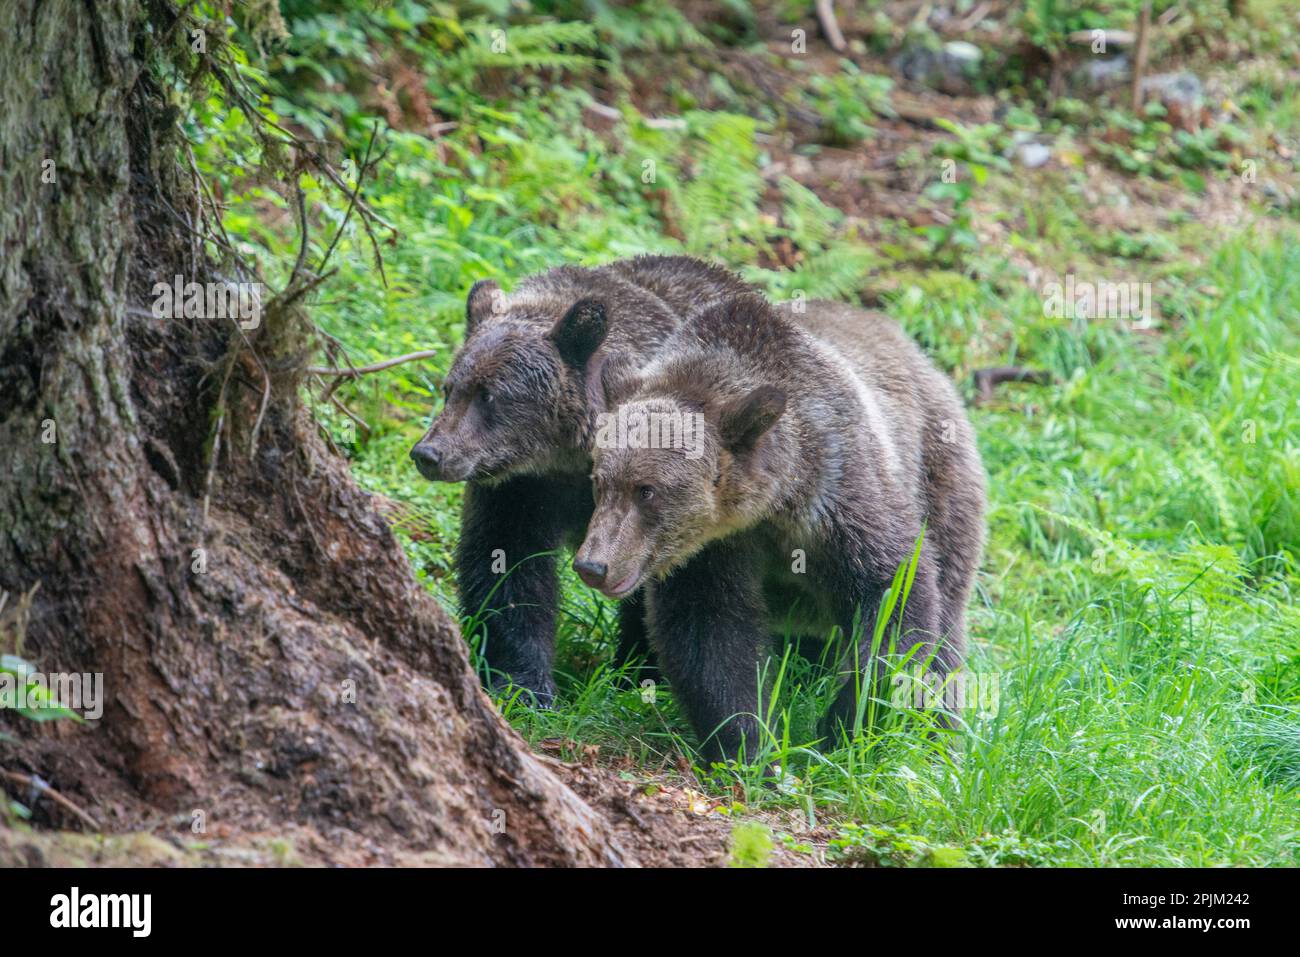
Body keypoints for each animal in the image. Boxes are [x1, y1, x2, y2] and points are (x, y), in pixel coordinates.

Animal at [410, 256, 756, 704]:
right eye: (450, 388)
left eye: (489, 395)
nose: (429, 454)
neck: (570, 457)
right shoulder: (519, 489)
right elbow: (506, 567)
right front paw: (523, 682)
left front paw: (636, 672)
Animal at [573, 292, 986, 761]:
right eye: (599, 480)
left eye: (647, 491)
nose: (593, 565)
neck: (771, 506)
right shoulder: (716, 550)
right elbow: (711, 634)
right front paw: (750, 746)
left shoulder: (841, 497)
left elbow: (893, 600)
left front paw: (842, 729)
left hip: (940, 481)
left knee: (946, 619)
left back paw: (936, 735)